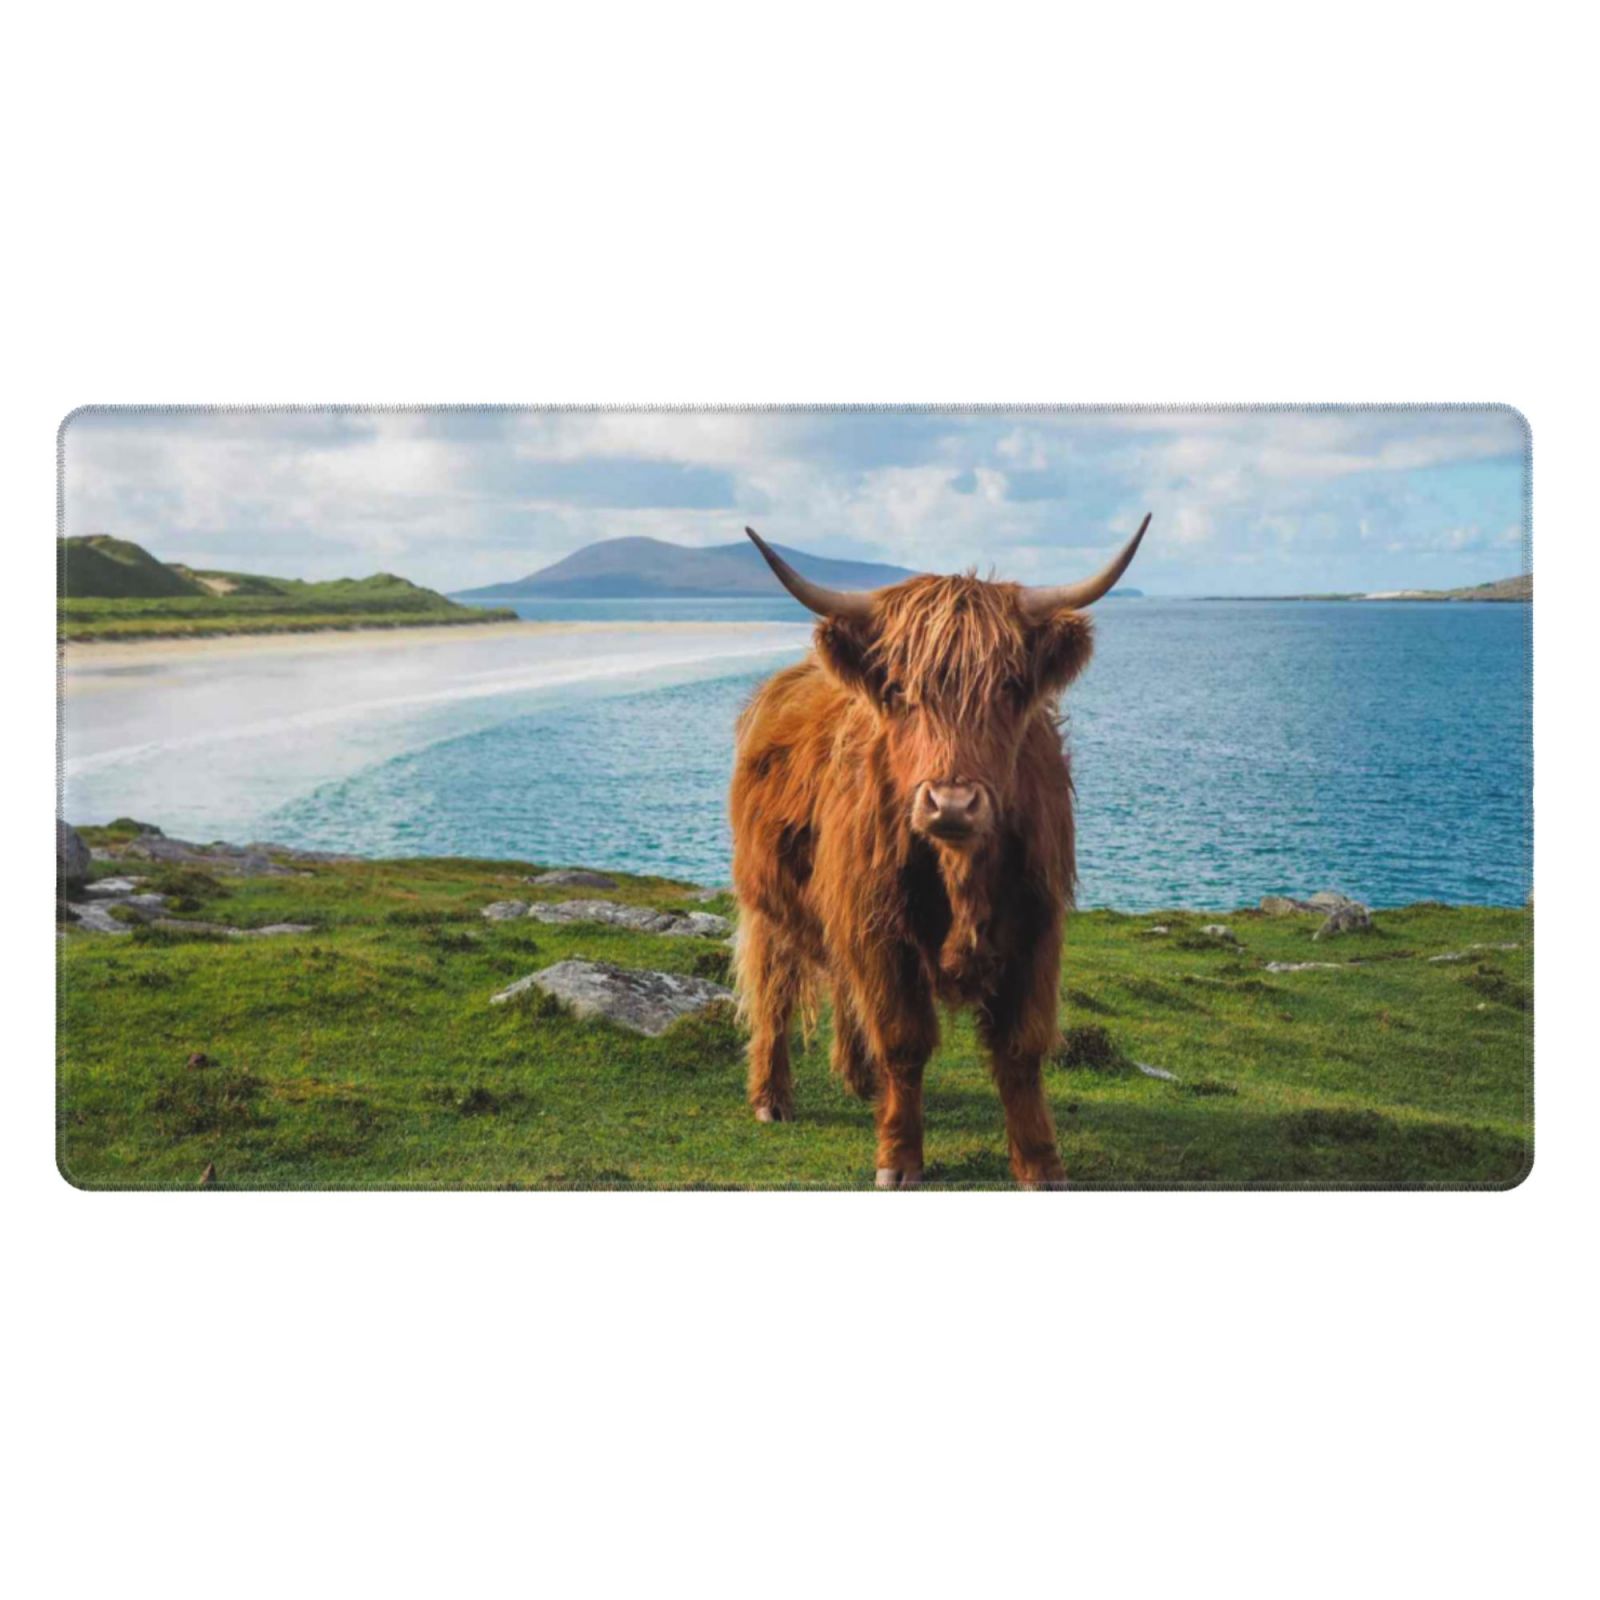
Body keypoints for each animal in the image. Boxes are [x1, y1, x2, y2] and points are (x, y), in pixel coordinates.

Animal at [729, 516, 1150, 1189]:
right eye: (901, 691)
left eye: (1009, 687)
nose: (952, 804)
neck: (962, 877)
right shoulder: (880, 926)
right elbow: (903, 1039)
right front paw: (898, 1159)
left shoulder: (1037, 927)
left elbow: (1020, 1048)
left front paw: (1040, 1163)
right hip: (768, 903)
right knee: (773, 991)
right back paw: (772, 1097)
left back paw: (858, 1077)